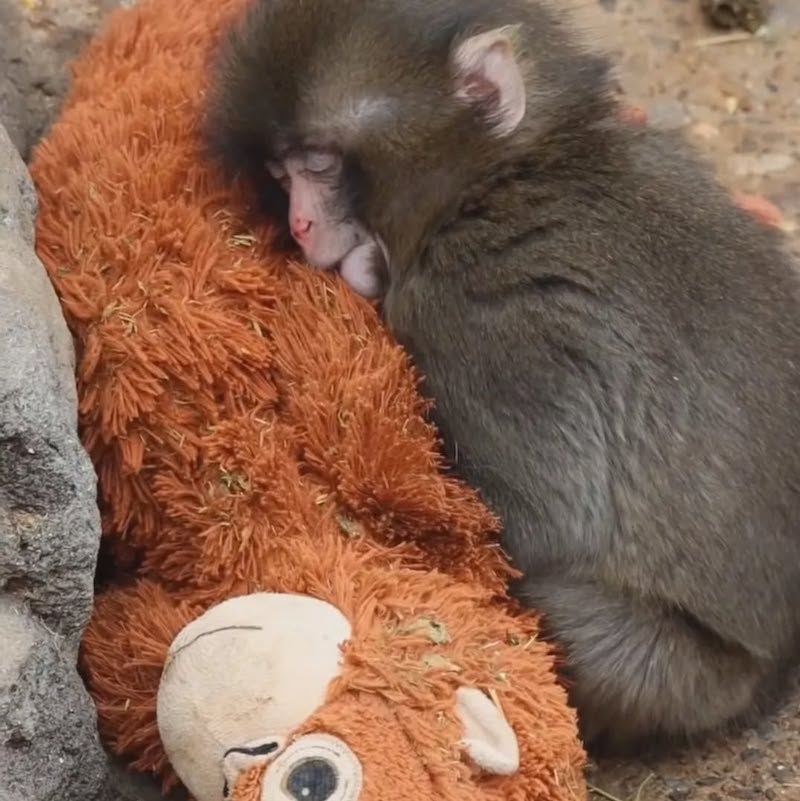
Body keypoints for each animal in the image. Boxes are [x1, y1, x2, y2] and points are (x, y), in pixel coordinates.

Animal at [205, 0, 800, 756]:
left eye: (320, 163)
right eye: (282, 176)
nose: (301, 223)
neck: (501, 177)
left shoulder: (479, 318)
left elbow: (540, 526)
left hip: (677, 677)